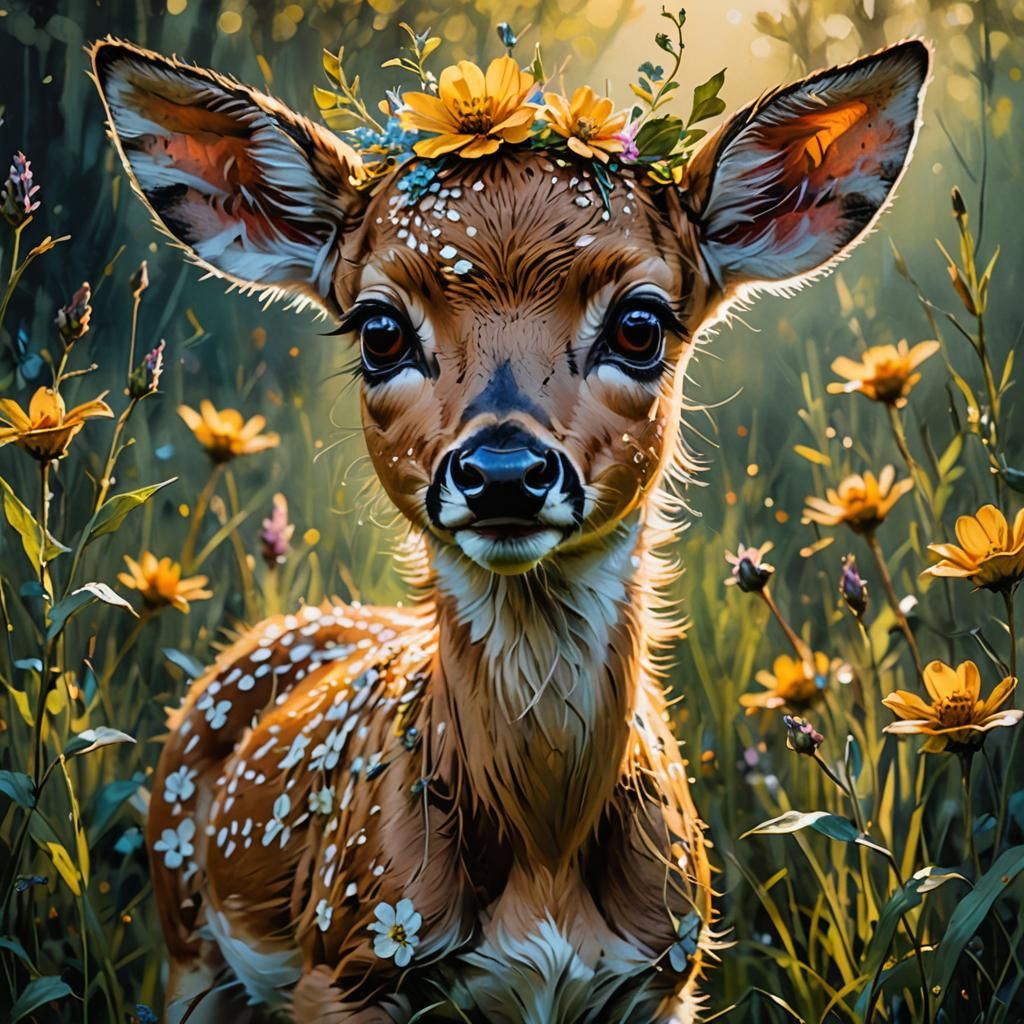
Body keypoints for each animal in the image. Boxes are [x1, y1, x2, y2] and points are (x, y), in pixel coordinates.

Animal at [90, 34, 930, 1024]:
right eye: (379, 330)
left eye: (640, 324)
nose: (500, 472)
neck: (546, 859)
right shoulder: (347, 961)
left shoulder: (670, 973)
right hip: (183, 927)